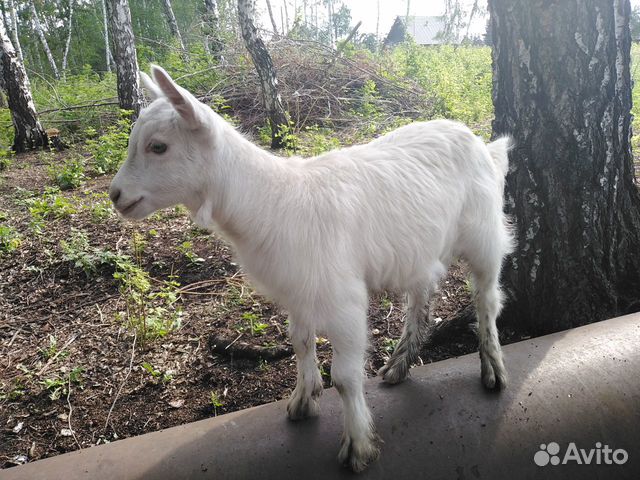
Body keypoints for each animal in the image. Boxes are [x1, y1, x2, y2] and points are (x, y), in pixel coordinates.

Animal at [109, 65, 514, 472]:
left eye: (158, 146)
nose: (115, 195)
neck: (274, 201)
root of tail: (480, 143)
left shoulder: (343, 298)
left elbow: (346, 377)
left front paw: (357, 445)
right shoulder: (298, 291)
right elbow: (301, 342)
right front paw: (303, 400)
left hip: (484, 233)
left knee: (487, 298)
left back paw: (493, 367)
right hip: (419, 247)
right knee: (422, 292)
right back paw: (400, 364)